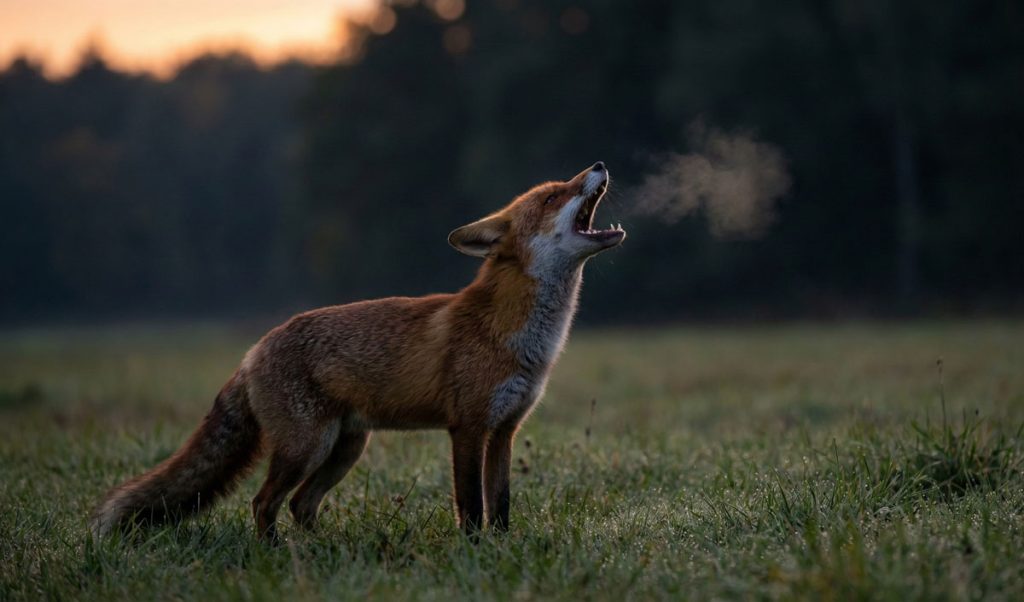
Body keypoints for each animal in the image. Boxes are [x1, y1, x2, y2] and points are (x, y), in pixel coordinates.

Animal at [91, 162, 625, 540]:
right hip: (307, 447)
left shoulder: (505, 430)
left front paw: (502, 548)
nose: (599, 163)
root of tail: (253, 350)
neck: (520, 336)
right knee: (263, 503)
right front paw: (474, 552)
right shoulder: (468, 427)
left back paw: (322, 550)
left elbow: (502, 505)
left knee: (300, 504)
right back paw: (277, 554)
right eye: (554, 195)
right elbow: (472, 507)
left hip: (345, 448)